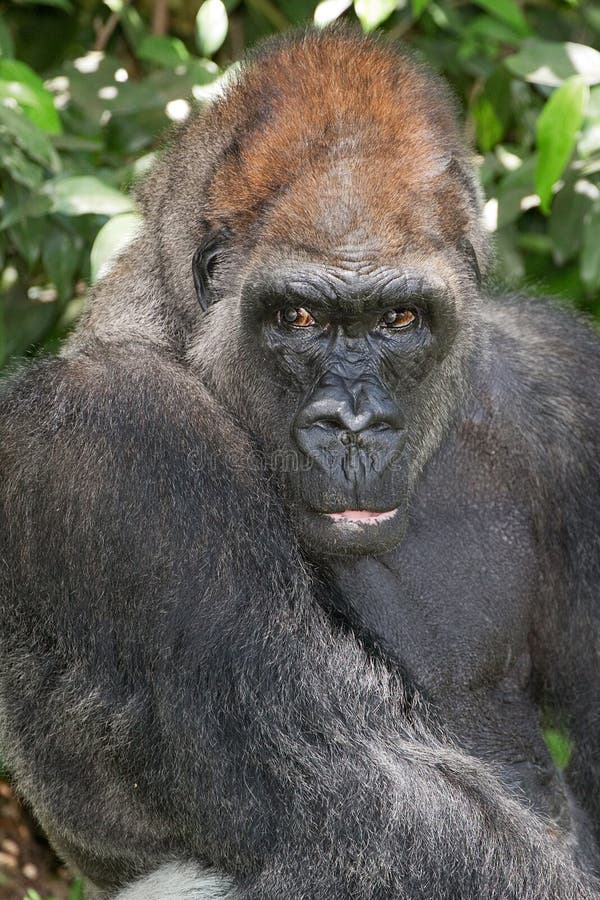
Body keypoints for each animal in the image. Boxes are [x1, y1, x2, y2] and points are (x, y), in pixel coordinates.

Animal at [0, 25, 599, 900]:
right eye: (299, 318)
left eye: (401, 318)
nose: (352, 425)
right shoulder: (118, 435)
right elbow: (353, 789)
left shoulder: (565, 385)